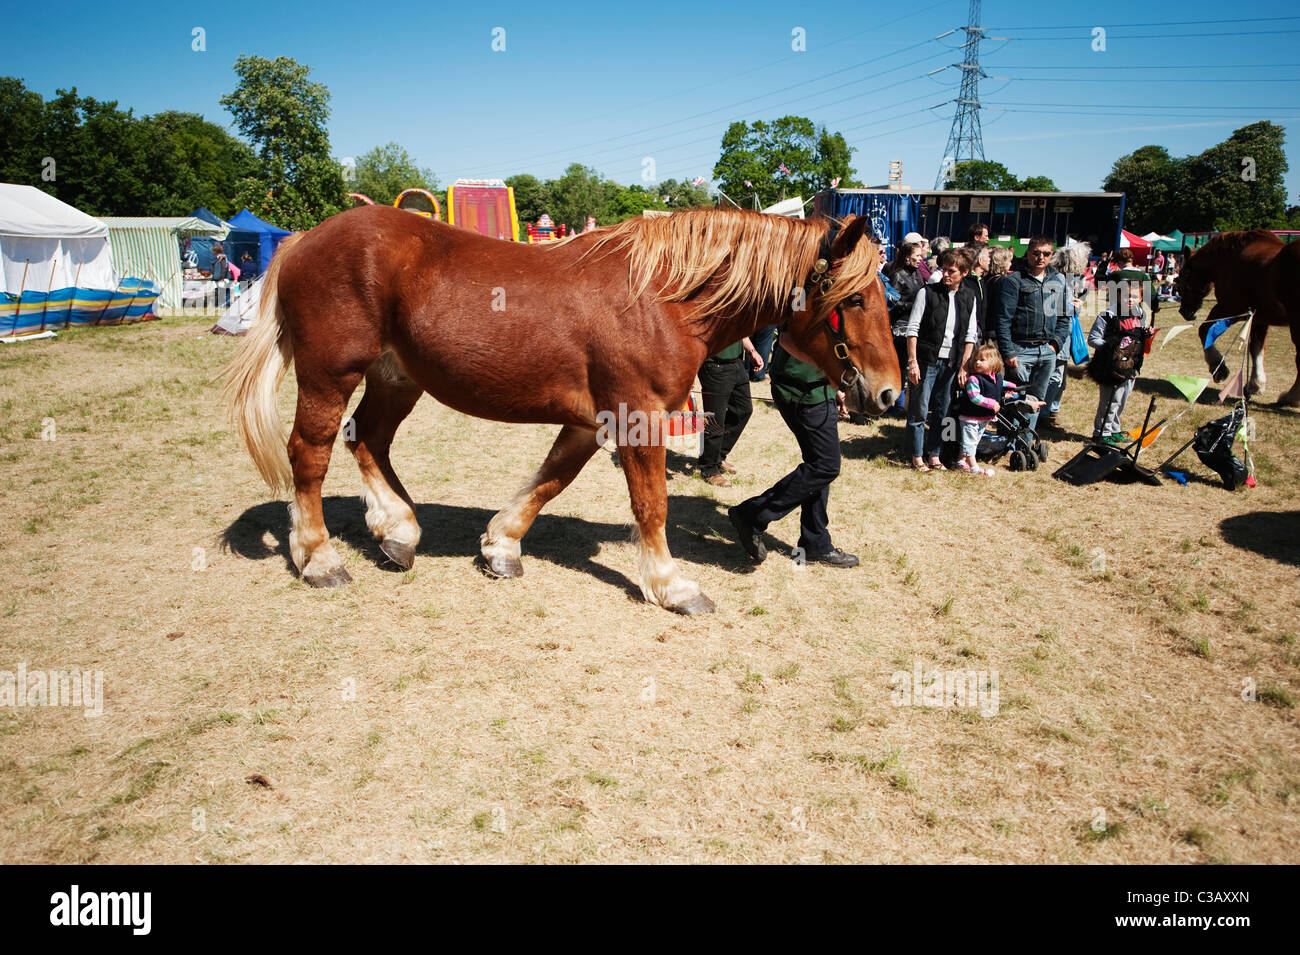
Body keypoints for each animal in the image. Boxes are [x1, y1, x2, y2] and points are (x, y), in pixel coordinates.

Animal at [224, 205, 899, 614]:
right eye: (855, 297)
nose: (890, 391)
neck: (662, 298)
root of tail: (305, 239)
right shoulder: (638, 417)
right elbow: (650, 504)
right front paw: (671, 584)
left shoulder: (589, 420)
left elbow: (550, 482)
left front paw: (501, 546)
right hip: (329, 375)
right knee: (309, 454)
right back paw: (318, 557)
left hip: (396, 378)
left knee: (367, 440)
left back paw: (397, 530)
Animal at [1177, 229, 1300, 405]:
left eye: (1182, 278)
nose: (1184, 311)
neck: (1230, 259)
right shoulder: (1259, 318)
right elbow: (1256, 348)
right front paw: (1255, 384)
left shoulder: (1229, 309)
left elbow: (1204, 330)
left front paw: (1219, 368)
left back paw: (1290, 397)